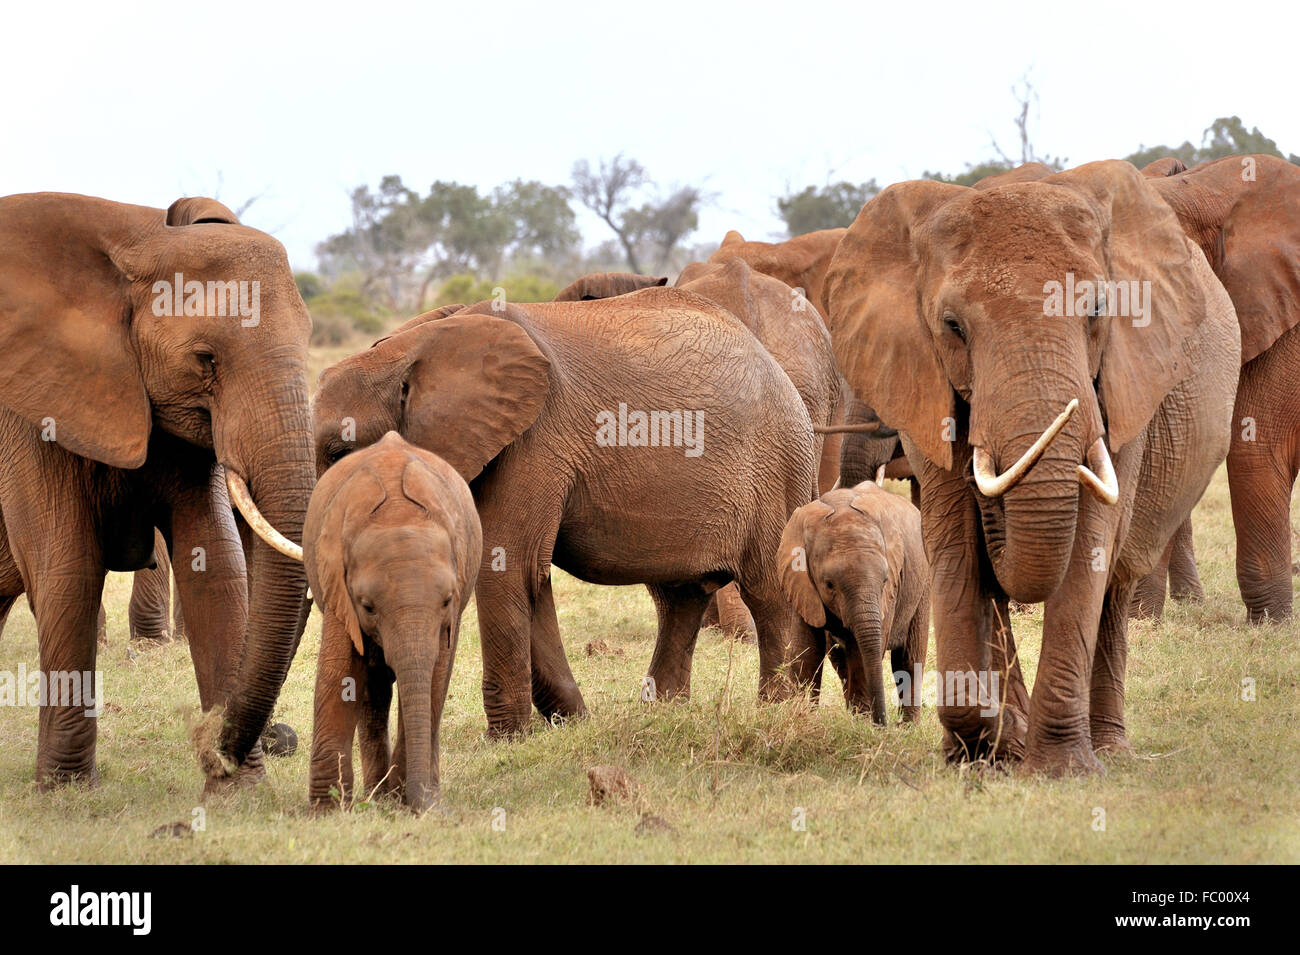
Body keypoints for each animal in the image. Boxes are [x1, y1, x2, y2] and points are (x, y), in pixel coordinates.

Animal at [0, 193, 314, 790]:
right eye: (206, 359)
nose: (214, 746)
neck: (138, 243)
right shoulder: (29, 410)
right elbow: (69, 567)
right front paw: (65, 789)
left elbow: (215, 563)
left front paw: (237, 790)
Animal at [305, 432, 481, 812]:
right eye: (368, 607)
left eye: (447, 601)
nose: (426, 806)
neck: (397, 512)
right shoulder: (337, 582)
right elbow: (339, 671)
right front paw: (325, 812)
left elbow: (434, 676)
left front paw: (412, 801)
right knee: (373, 687)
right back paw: (377, 795)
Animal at [312, 288, 817, 735]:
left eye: (339, 453)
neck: (410, 348)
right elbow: (529, 579)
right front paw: (572, 722)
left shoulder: (532, 440)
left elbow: (508, 566)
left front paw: (509, 739)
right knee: (679, 595)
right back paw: (664, 712)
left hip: (776, 470)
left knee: (766, 593)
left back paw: (777, 711)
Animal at [777, 481, 929, 724]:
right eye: (829, 585)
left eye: (885, 581)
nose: (882, 724)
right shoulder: (802, 585)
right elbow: (807, 649)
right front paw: (798, 715)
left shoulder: (890, 593)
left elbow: (861, 653)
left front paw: (861, 725)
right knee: (840, 660)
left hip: (922, 586)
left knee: (908, 661)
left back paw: (908, 727)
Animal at [824, 160, 1241, 774]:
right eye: (952, 326)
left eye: (1097, 312)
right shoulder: (924, 381)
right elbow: (955, 543)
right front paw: (982, 748)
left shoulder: (1121, 386)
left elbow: (1091, 538)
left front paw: (1060, 768)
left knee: (1116, 584)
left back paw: (1105, 749)